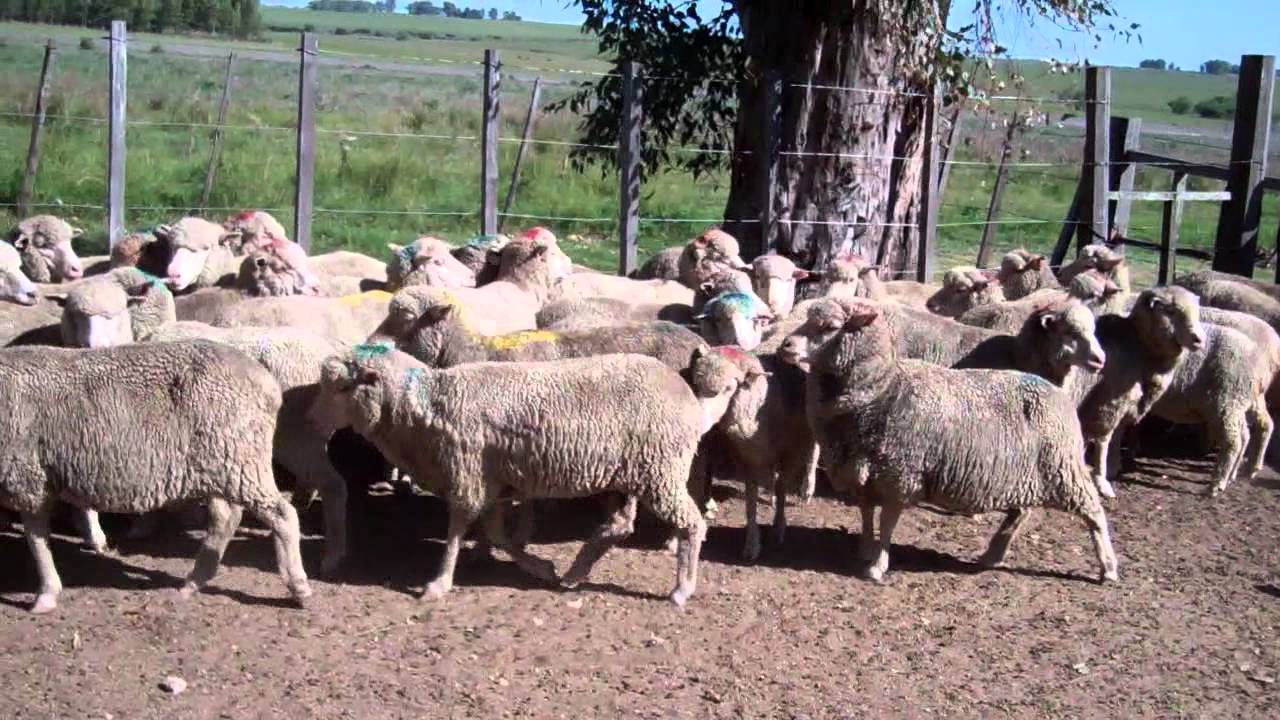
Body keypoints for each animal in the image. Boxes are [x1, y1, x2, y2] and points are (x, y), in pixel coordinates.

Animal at [0, 339, 312, 613]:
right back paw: (193, 583)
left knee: (282, 515)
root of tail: (268, 384)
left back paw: (299, 587)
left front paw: (46, 594)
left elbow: (36, 538)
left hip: (241, 459)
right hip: (223, 465)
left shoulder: (27, 477)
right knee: (226, 519)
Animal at [307, 344, 711, 606]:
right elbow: (499, 536)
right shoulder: (494, 484)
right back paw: (574, 574)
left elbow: (457, 533)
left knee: (692, 523)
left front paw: (438, 584)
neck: (423, 405)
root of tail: (684, 390)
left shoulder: (467, 478)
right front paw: (541, 567)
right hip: (625, 477)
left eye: (341, 386)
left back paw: (682, 589)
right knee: (620, 526)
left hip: (661, 470)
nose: (312, 423)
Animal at [804, 300, 1119, 583]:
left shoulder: (899, 475)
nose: (1101, 360)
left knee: (1089, 510)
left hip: (1057, 467)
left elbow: (885, 522)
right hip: (1038, 468)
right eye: (1070, 331)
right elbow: (871, 515)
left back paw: (1107, 567)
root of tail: (1057, 395)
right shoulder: (873, 474)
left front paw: (876, 563)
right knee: (1028, 511)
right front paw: (869, 553)